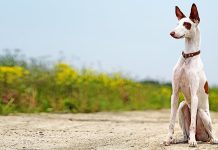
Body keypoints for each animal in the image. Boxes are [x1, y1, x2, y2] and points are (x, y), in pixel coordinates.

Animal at [164, 3, 218, 146]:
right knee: (185, 134)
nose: (171, 33)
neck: (188, 57)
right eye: (177, 23)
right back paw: (179, 139)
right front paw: (168, 139)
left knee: (210, 133)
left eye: (187, 24)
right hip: (182, 106)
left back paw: (208, 140)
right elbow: (171, 122)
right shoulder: (175, 94)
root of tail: (202, 137)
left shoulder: (194, 96)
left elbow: (193, 124)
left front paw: (192, 142)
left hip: (202, 113)